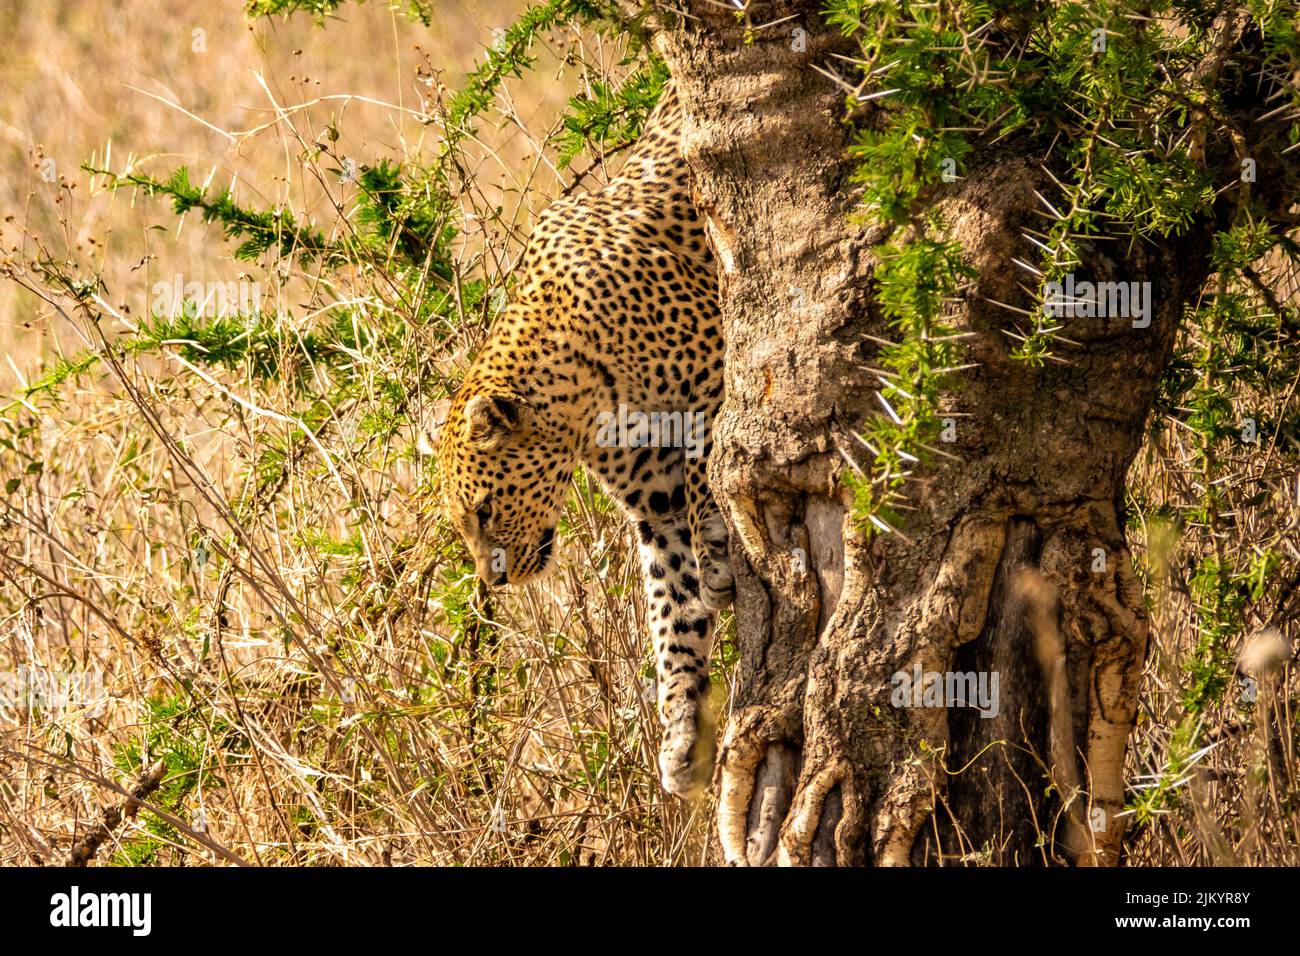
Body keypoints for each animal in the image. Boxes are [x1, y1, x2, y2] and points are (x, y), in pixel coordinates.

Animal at [437, 83, 731, 798]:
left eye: (484, 511)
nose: (492, 579)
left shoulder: (717, 368)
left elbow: (707, 468)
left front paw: (718, 559)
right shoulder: (655, 504)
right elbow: (671, 608)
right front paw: (682, 733)